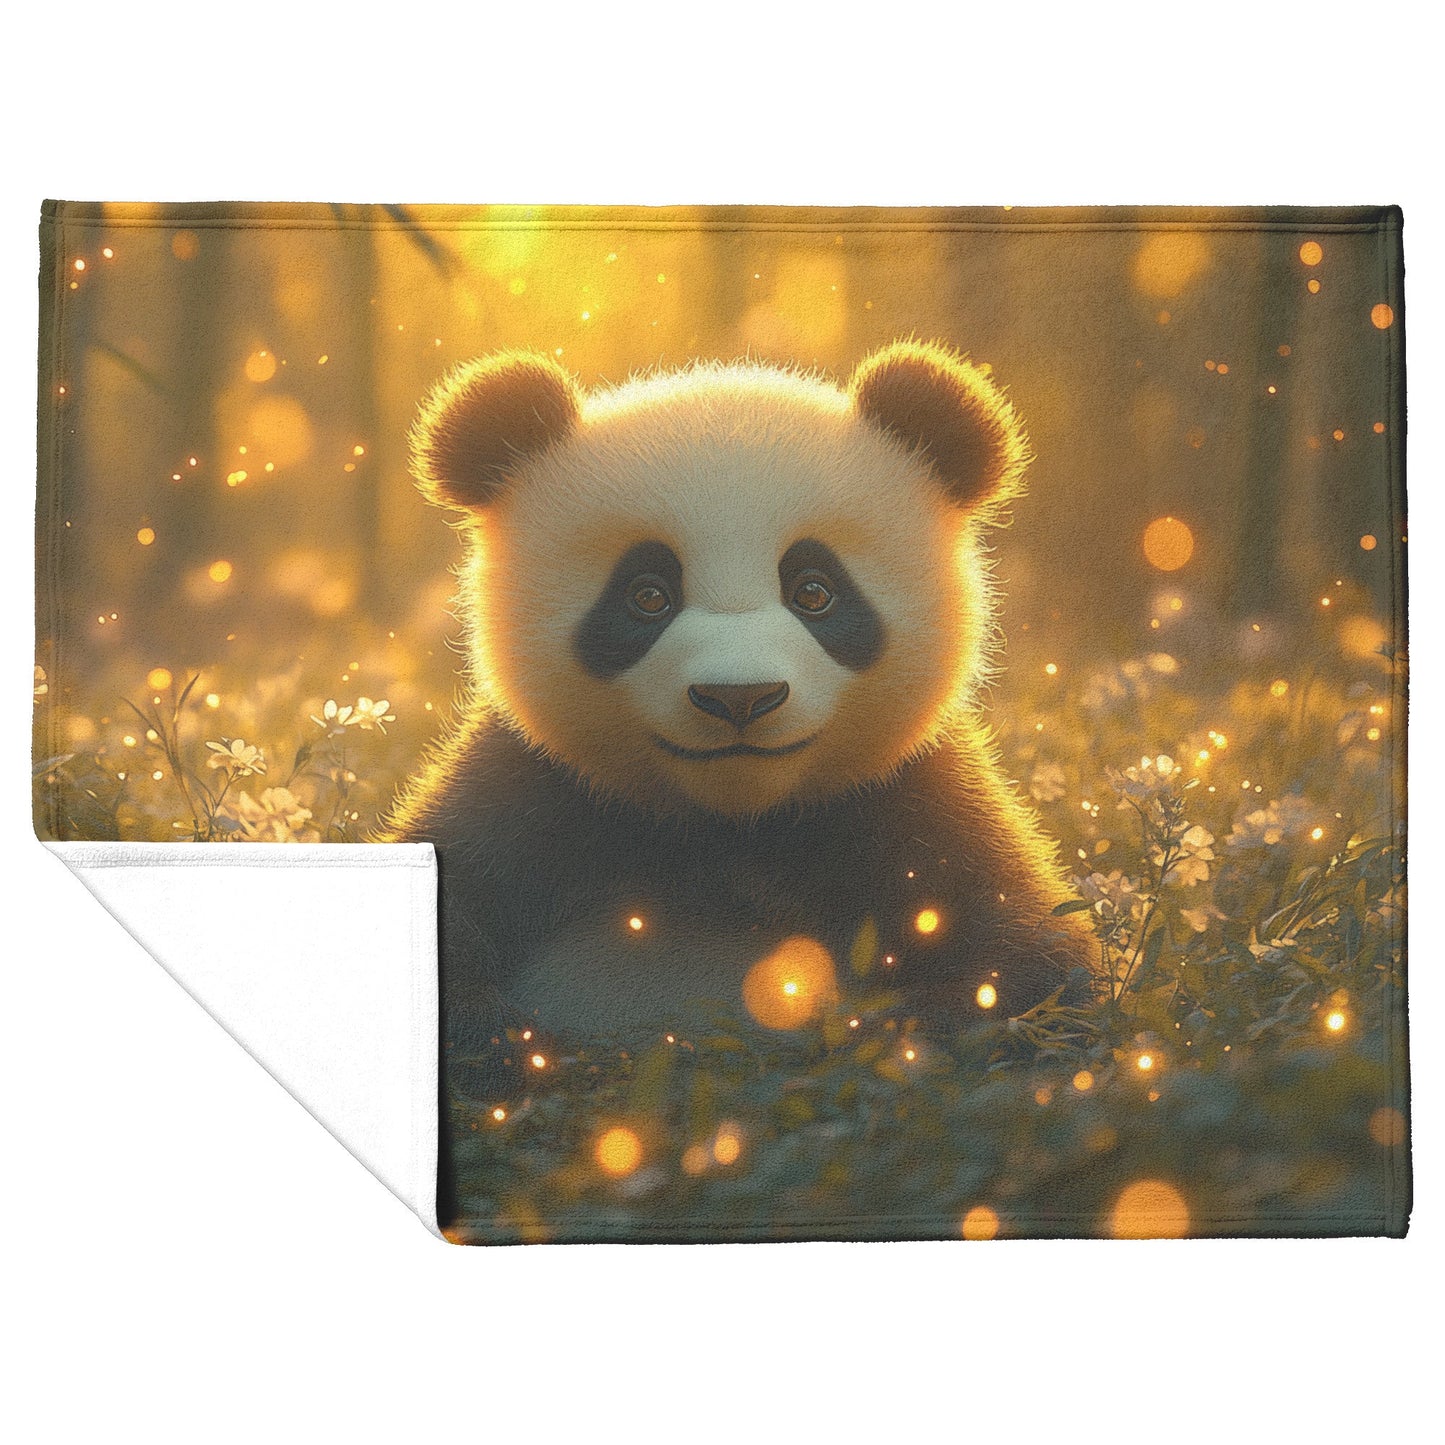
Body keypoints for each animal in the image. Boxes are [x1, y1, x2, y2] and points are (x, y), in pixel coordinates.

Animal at [382, 341, 1095, 1081]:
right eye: (647, 595)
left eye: (813, 590)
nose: (739, 697)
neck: (731, 824)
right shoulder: (535, 791)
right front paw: (515, 1045)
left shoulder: (911, 801)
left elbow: (1032, 958)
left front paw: (884, 1032)